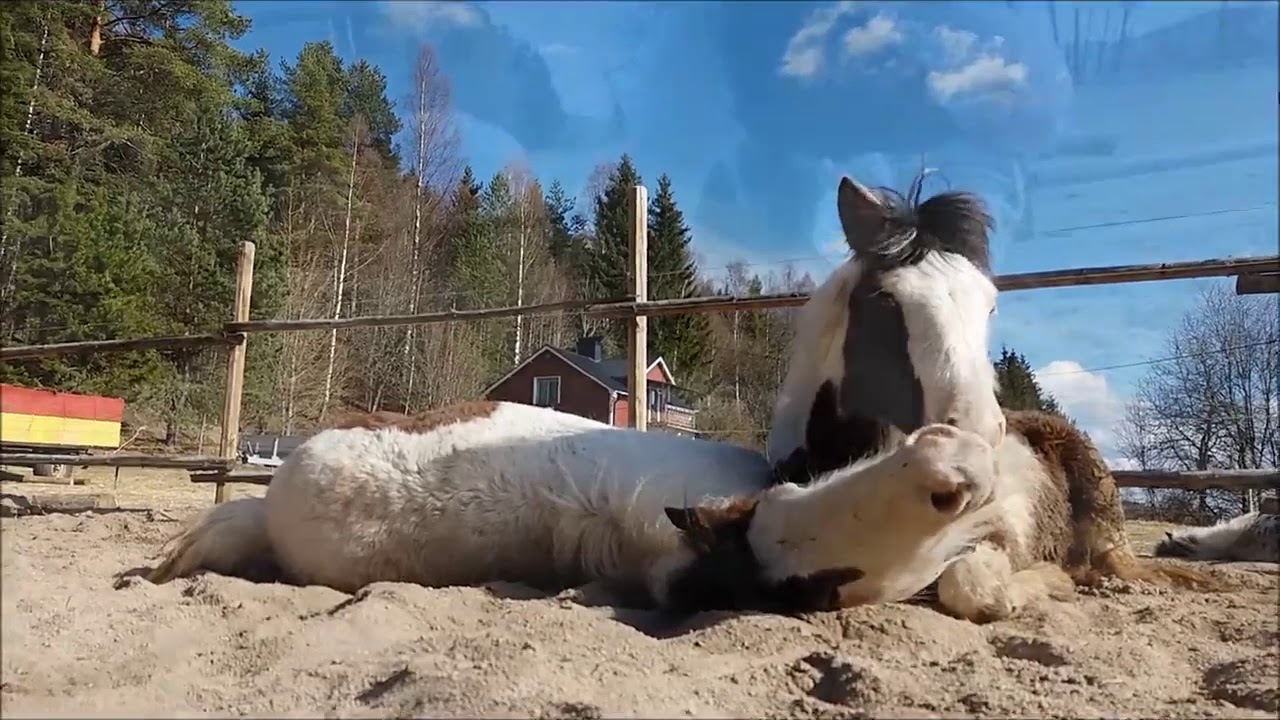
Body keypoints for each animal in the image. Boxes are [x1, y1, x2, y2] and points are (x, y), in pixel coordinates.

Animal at [764, 172, 1229, 623]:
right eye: (884, 300)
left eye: (989, 307)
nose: (978, 435)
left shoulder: (999, 534)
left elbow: (971, 588)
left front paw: (1049, 579)